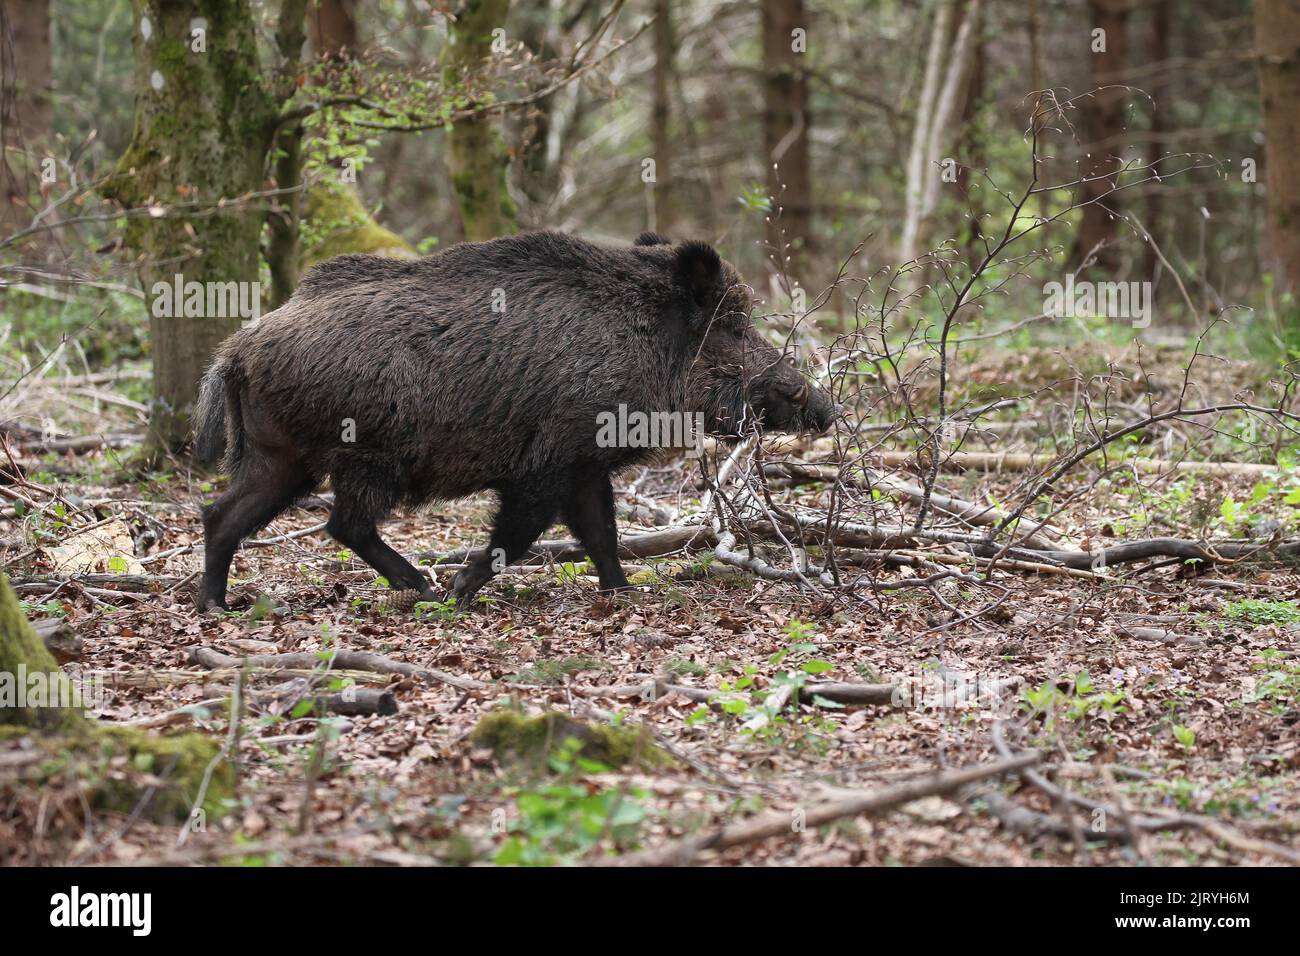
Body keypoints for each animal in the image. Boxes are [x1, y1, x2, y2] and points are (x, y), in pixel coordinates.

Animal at [193, 230, 835, 611]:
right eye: (733, 328)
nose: (824, 407)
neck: (642, 343)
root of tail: (238, 348)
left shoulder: (584, 465)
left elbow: (601, 532)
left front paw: (622, 593)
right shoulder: (546, 463)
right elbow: (522, 532)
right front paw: (461, 587)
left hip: (283, 458)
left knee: (222, 515)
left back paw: (215, 606)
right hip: (364, 455)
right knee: (344, 523)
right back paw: (422, 587)